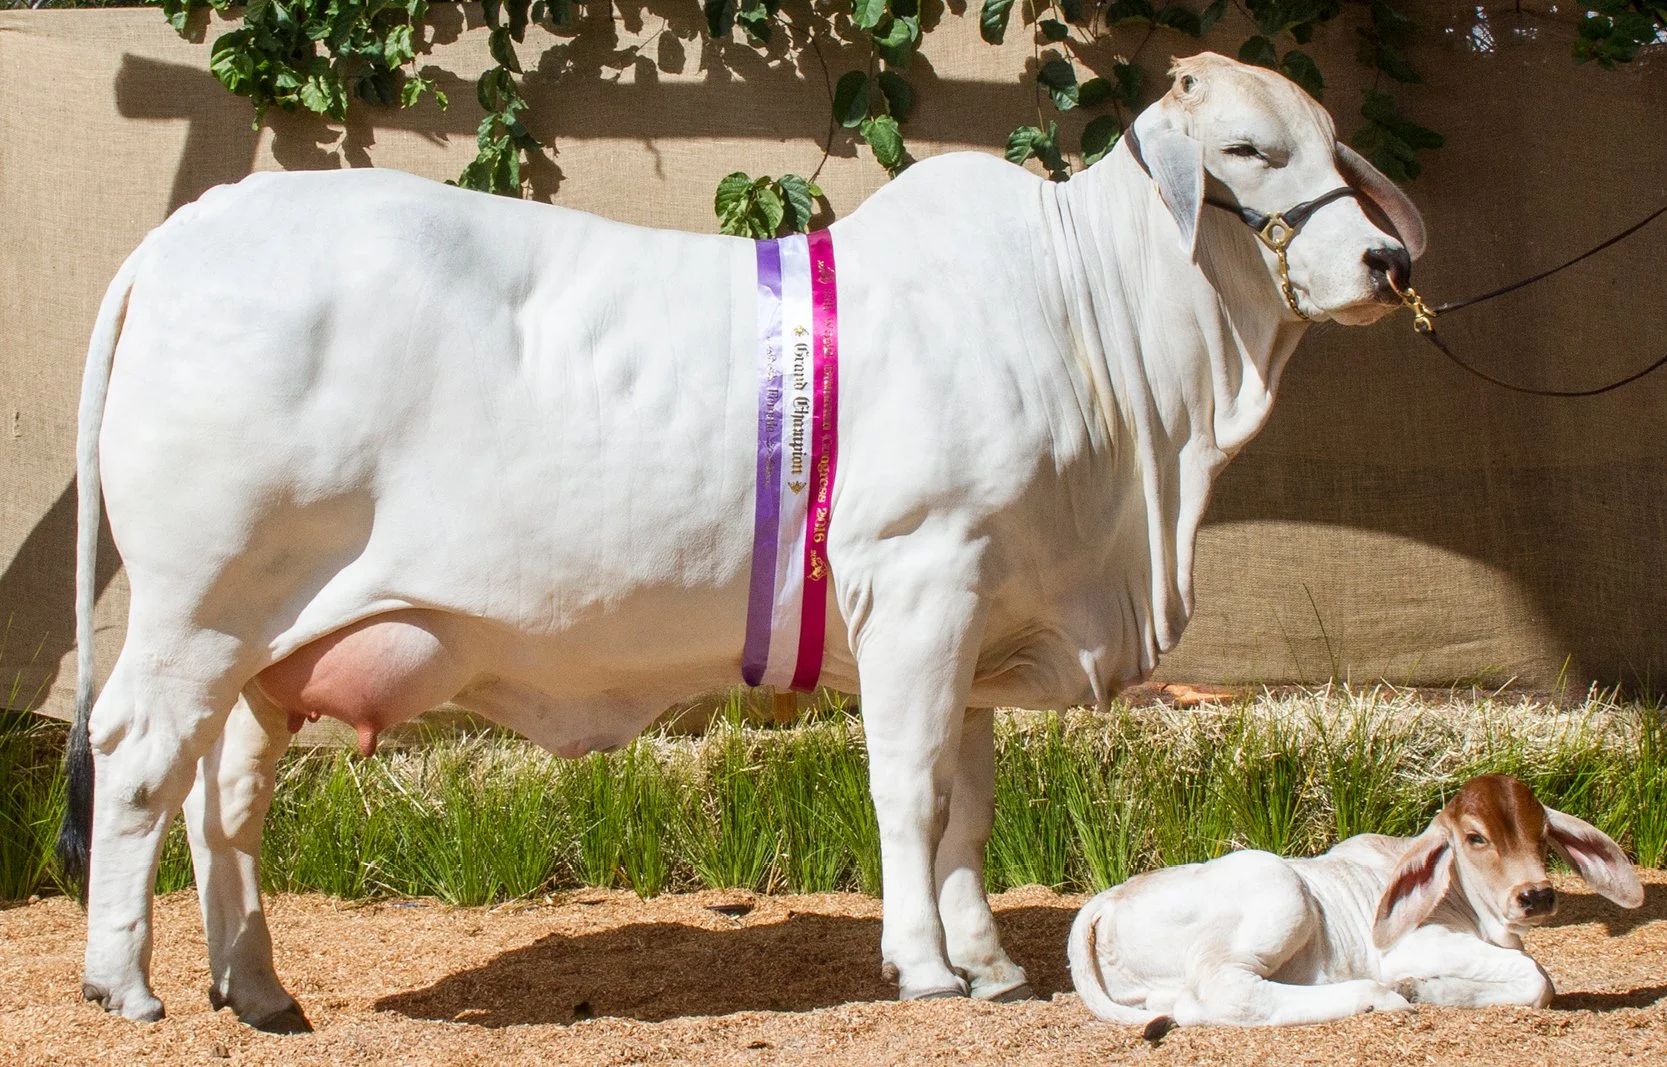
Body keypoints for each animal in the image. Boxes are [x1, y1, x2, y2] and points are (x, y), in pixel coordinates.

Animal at [59, 52, 1425, 1031]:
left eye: (1334, 147)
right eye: (1245, 148)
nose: (1382, 257)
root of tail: (186, 232)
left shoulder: (981, 616)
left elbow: (970, 801)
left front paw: (988, 962)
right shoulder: (919, 575)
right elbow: (909, 784)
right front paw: (923, 966)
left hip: (267, 639)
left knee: (225, 799)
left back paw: (260, 990)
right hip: (195, 607)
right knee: (136, 762)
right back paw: (127, 983)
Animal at [1068, 774, 1645, 1031]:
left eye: (1543, 835)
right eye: (1476, 837)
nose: (1536, 895)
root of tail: (1107, 899)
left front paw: (1432, 990)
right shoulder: (1414, 945)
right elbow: (1538, 978)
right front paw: (1419, 989)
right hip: (1281, 891)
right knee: (1223, 995)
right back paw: (1376, 997)